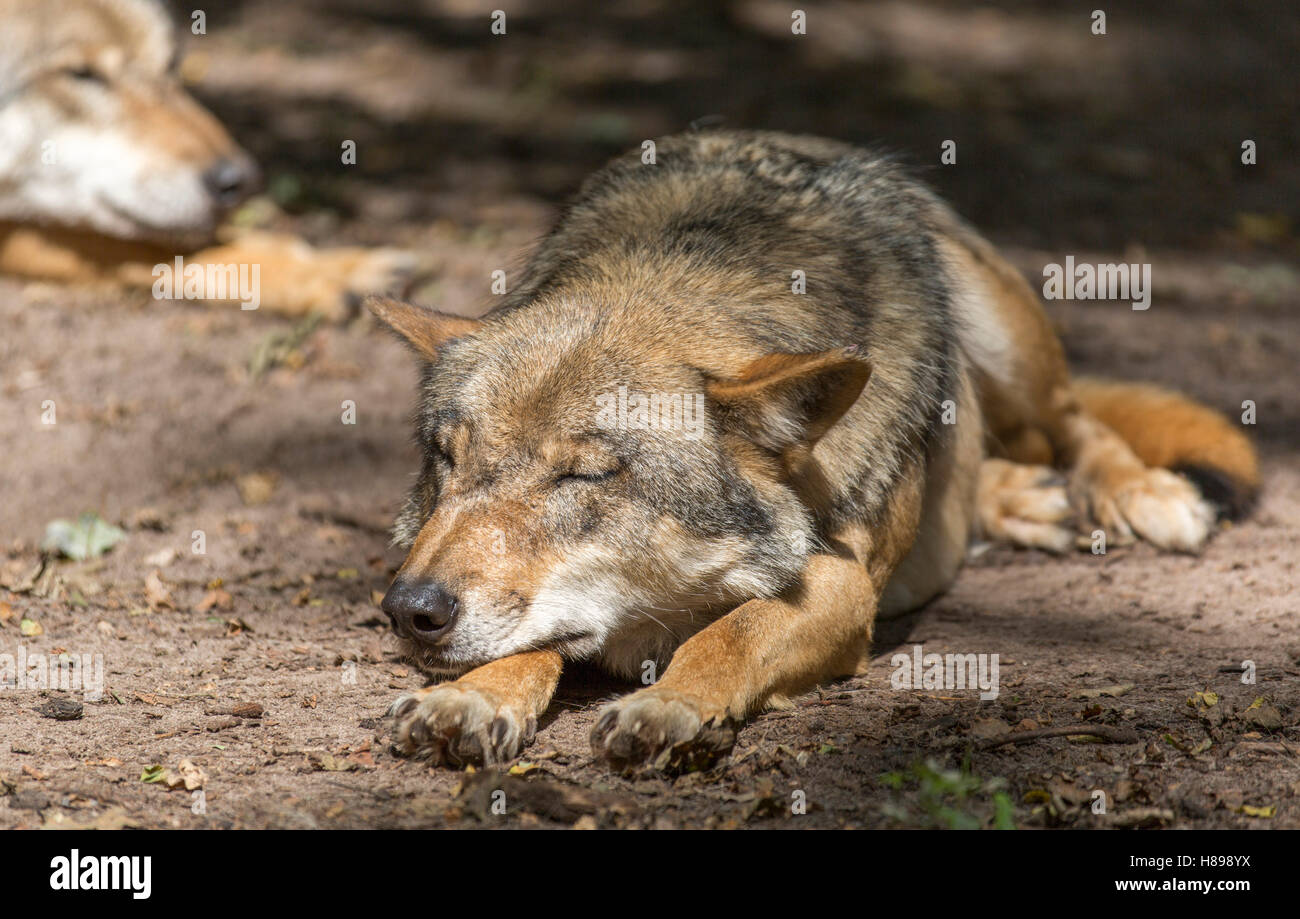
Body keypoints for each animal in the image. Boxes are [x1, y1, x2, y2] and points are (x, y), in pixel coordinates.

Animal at [0, 0, 410, 319]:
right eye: (81, 74)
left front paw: (345, 264)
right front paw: (309, 277)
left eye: (170, 64)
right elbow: (159, 247)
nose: (242, 180)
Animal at [368, 130, 1258, 772]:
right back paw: (1021, 498)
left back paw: (1141, 494)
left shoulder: (840, 582)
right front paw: (472, 698)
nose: (410, 609)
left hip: (1006, 338)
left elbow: (730, 633)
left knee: (1078, 420)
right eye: (448, 461)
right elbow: (535, 638)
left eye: (583, 474)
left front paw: (669, 706)